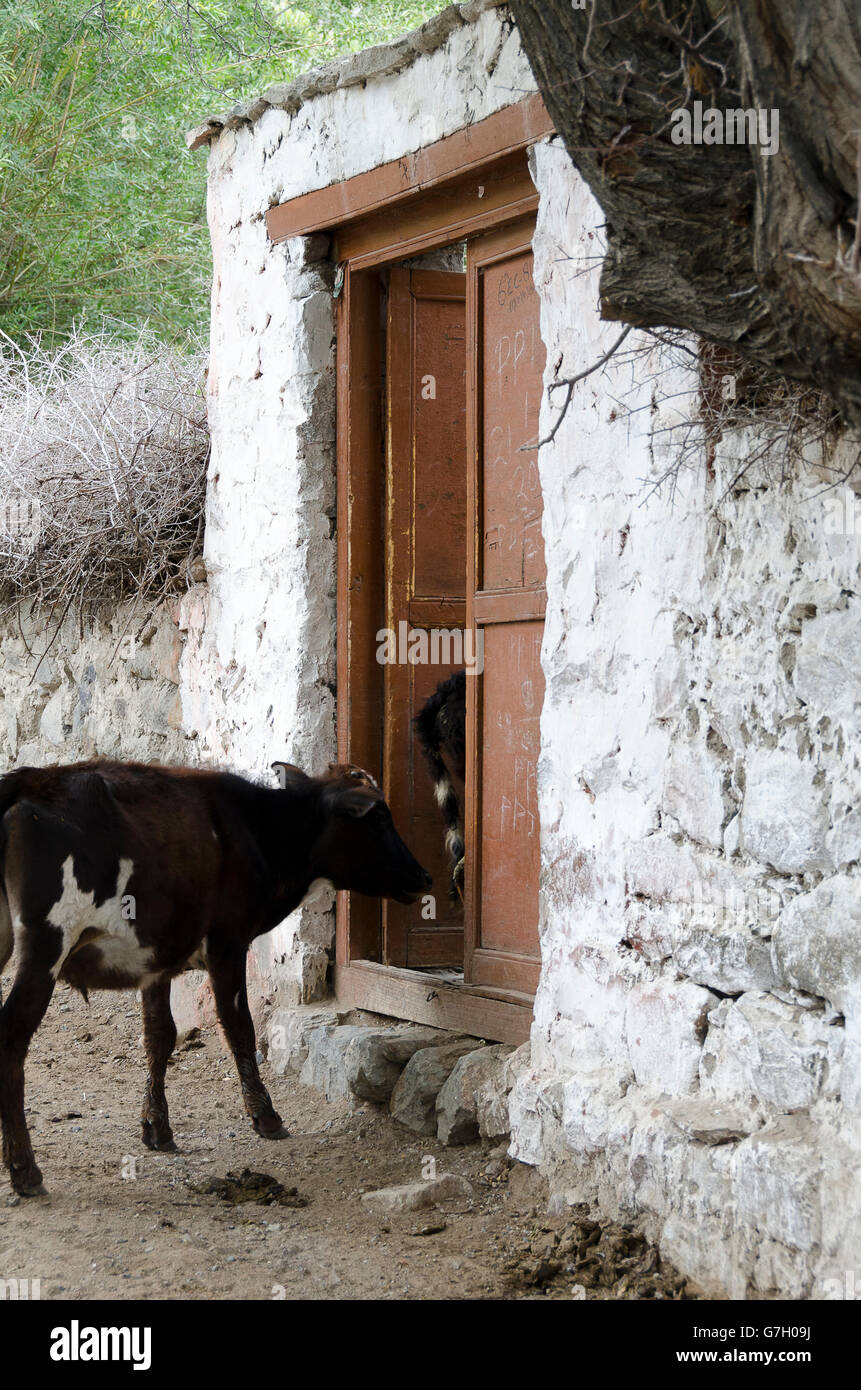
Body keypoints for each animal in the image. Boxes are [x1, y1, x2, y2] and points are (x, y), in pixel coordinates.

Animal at [0, 758, 430, 1195]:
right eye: (379, 817)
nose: (424, 877)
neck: (256, 831)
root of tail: (30, 780)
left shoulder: (157, 957)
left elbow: (160, 1035)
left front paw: (157, 1127)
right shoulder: (228, 943)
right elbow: (239, 1028)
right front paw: (266, 1116)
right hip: (46, 945)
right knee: (12, 1037)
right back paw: (24, 1168)